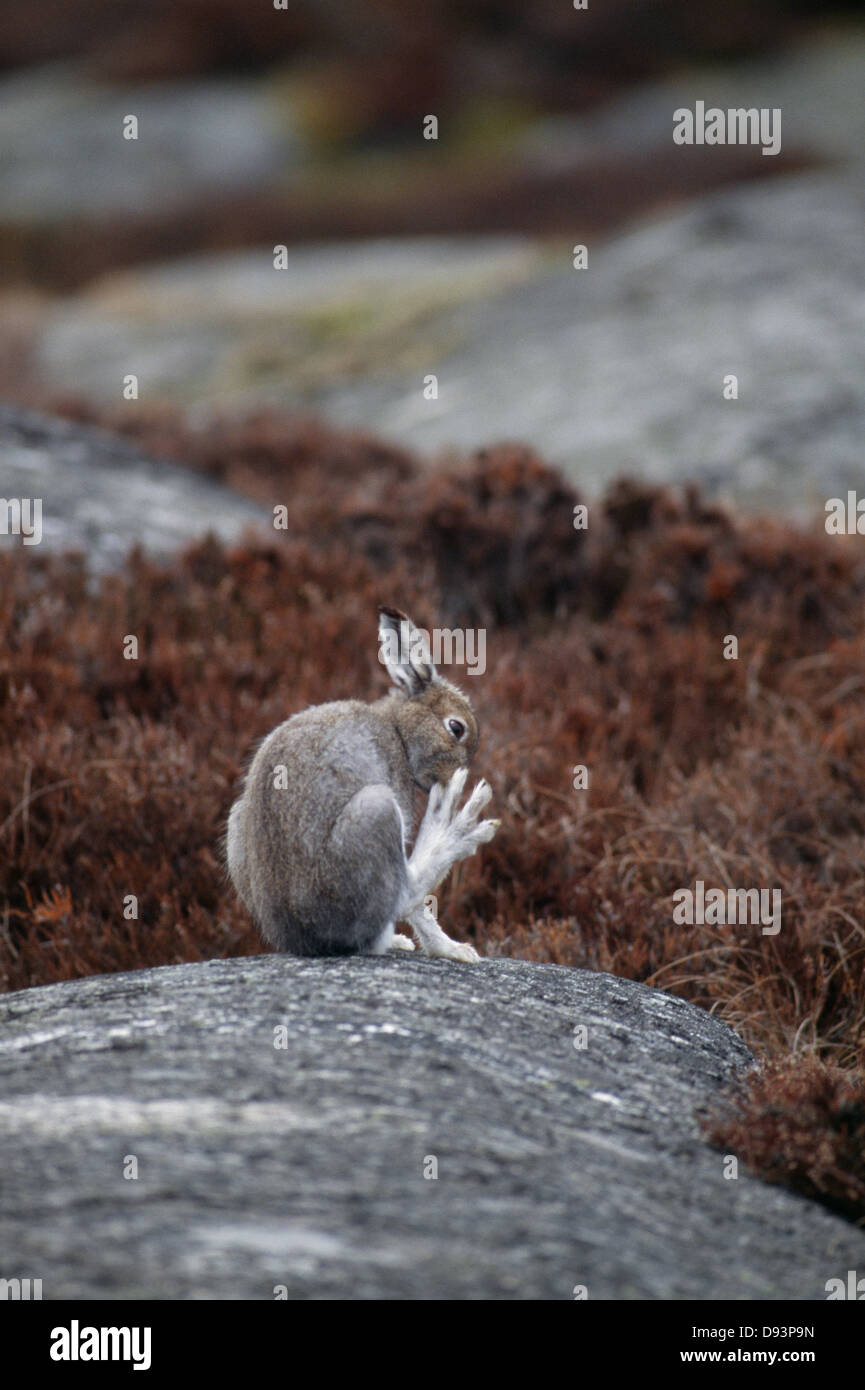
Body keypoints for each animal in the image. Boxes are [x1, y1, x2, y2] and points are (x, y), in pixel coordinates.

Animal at [226, 606, 499, 961]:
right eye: (456, 728)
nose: (458, 776)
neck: (398, 729)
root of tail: (305, 940)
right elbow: (417, 909)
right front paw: (454, 950)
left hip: (236, 820)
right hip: (377, 812)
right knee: (404, 895)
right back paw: (455, 830)